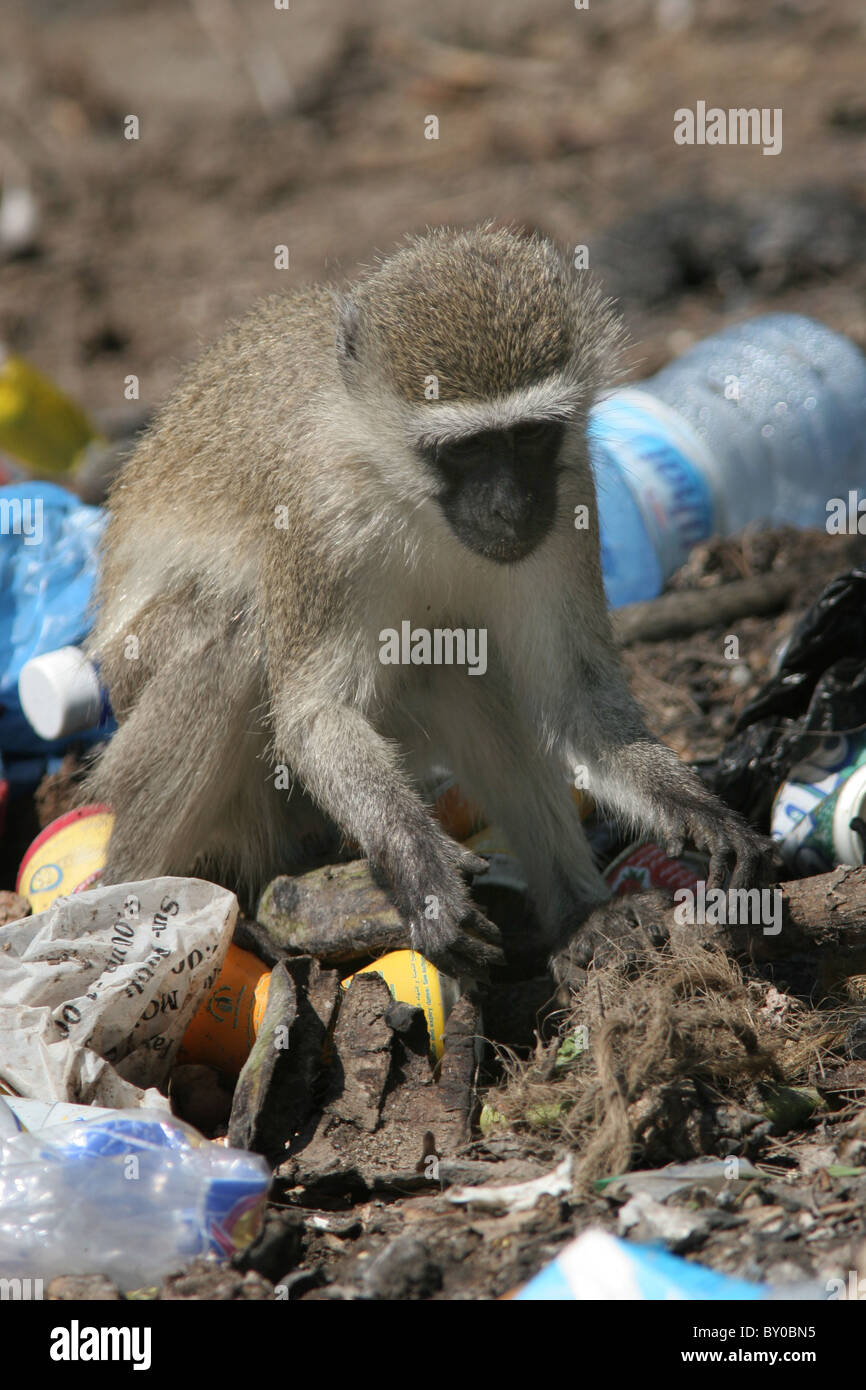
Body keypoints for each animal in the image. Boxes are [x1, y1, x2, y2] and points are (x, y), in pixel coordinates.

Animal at [84, 224, 773, 979]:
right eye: (467, 450)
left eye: (530, 435)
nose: (510, 507)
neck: (399, 482)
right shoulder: (319, 514)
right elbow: (315, 714)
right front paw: (422, 871)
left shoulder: (571, 496)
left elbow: (577, 696)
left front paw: (693, 807)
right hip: (140, 695)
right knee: (230, 630)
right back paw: (138, 901)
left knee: (460, 660)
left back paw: (580, 917)